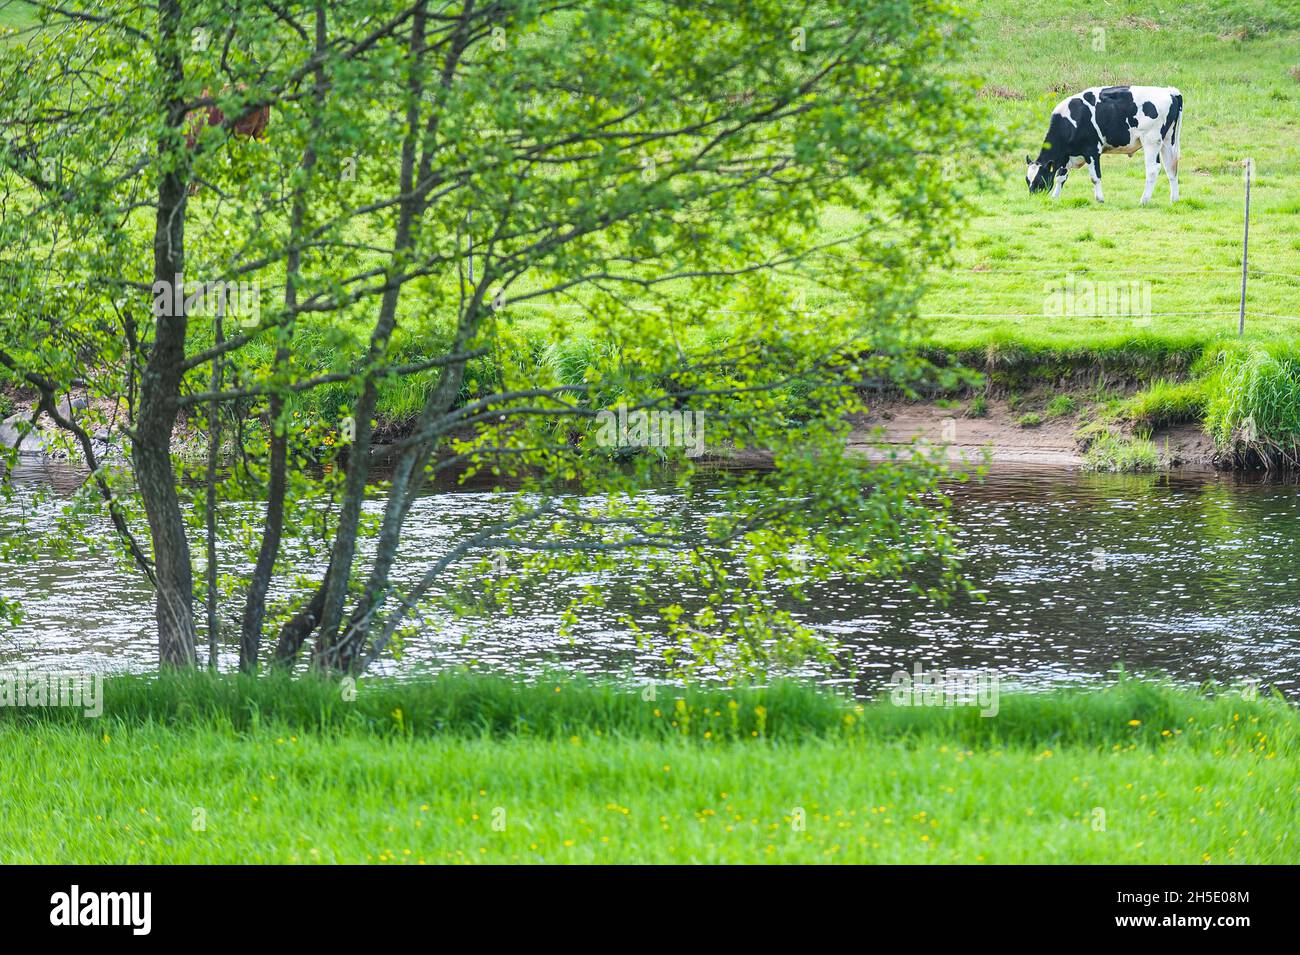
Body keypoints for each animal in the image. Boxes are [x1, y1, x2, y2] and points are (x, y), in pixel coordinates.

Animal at [1026, 86, 1182, 204]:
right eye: (1027, 180)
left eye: (1040, 181)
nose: (1034, 198)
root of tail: (1169, 91)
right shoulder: (1067, 155)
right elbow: (1060, 177)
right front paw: (1055, 196)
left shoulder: (1092, 151)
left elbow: (1095, 177)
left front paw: (1100, 199)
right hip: (1168, 140)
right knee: (1171, 168)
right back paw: (1174, 200)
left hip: (1151, 140)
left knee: (1153, 169)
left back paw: (1143, 200)